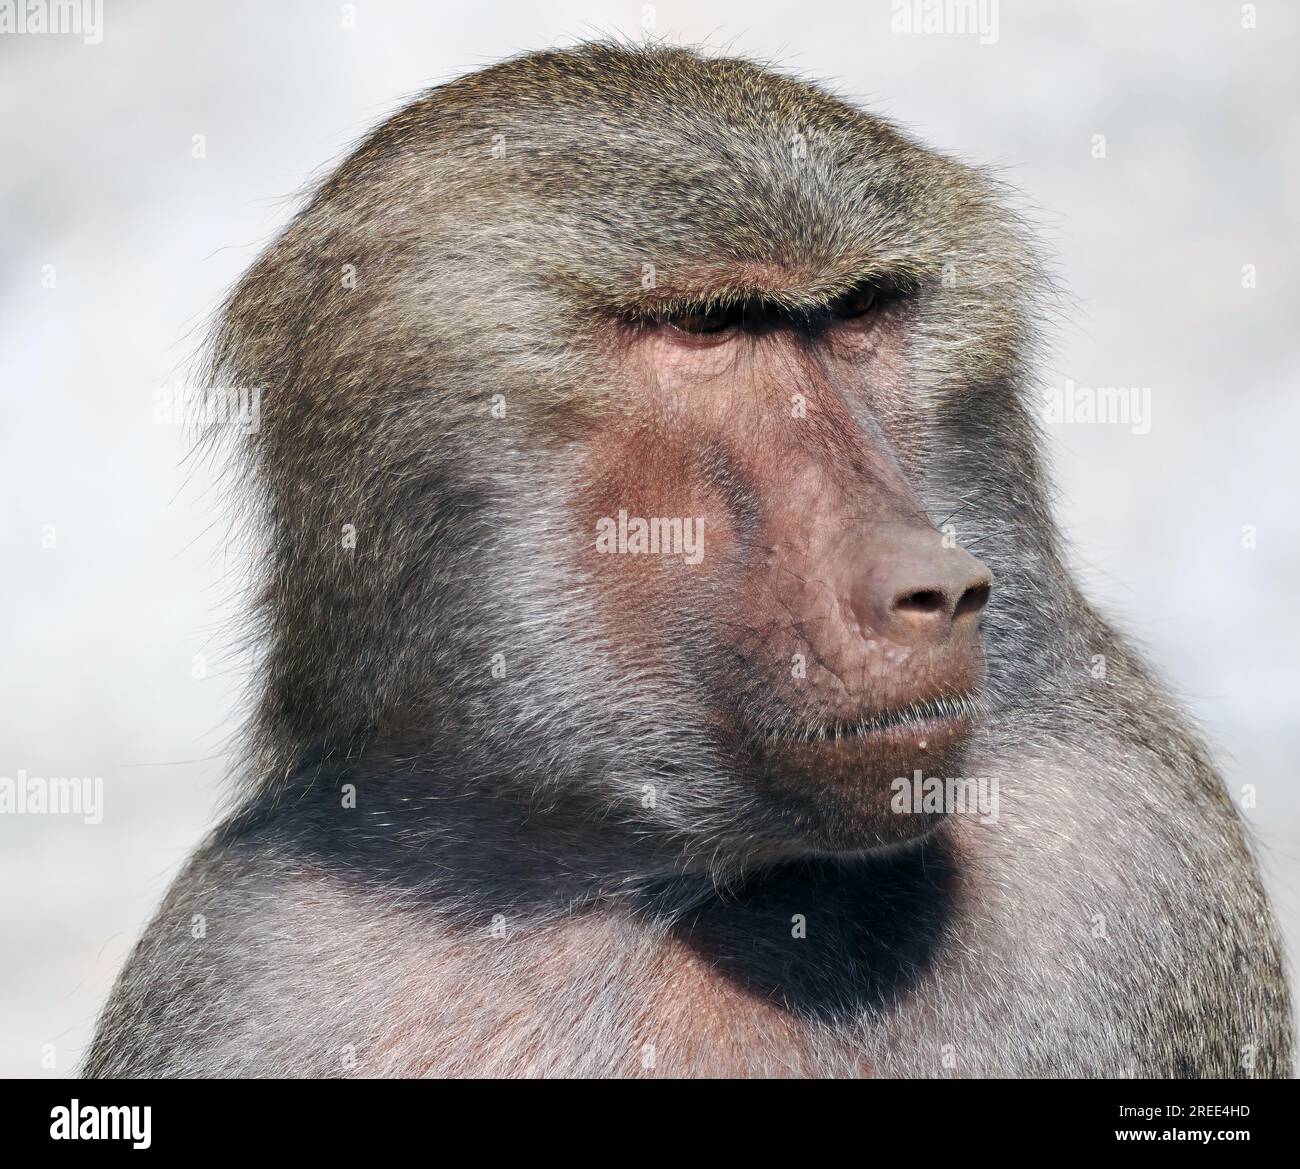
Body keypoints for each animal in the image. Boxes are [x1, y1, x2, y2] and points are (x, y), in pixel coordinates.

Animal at [84, 41, 1290, 1078]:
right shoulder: (245, 950)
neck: (622, 875)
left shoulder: (1125, 857)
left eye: (858, 313)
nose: (935, 586)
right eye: (712, 326)